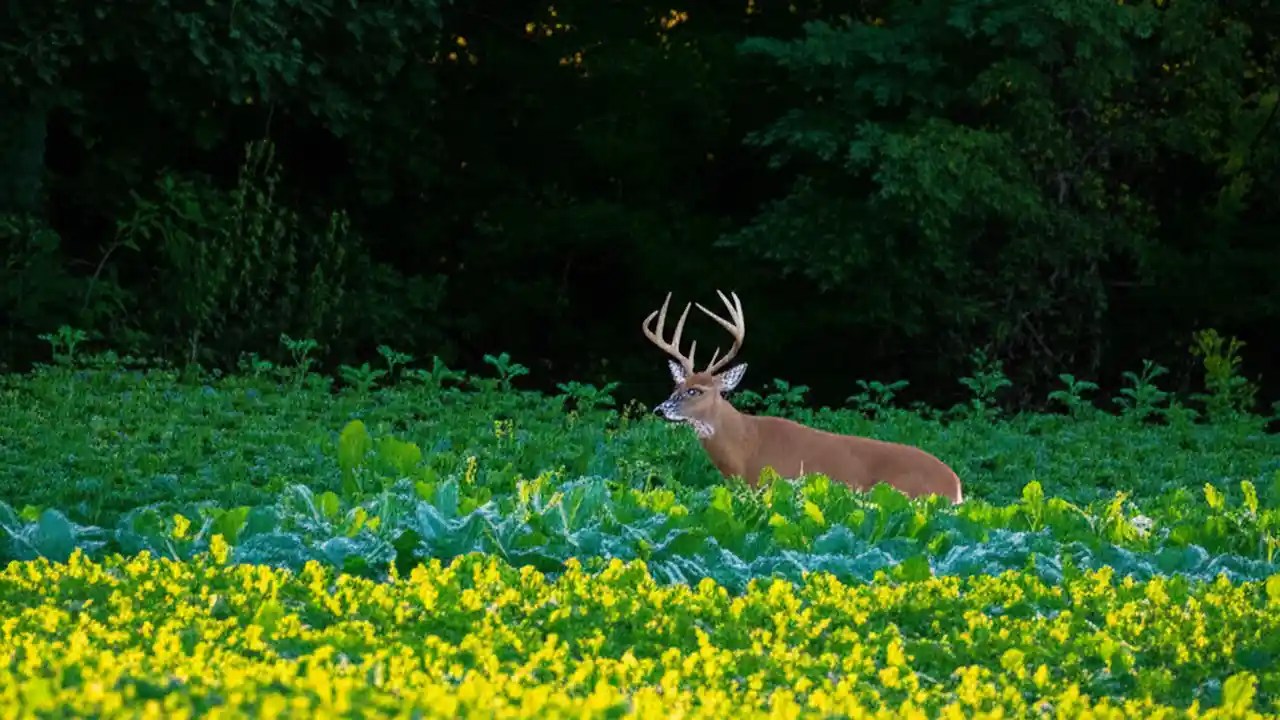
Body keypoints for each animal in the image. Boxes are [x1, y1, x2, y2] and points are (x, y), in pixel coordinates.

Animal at [642, 290, 963, 504]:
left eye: (695, 390)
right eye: (676, 387)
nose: (660, 409)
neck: (744, 451)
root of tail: (956, 485)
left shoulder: (776, 482)